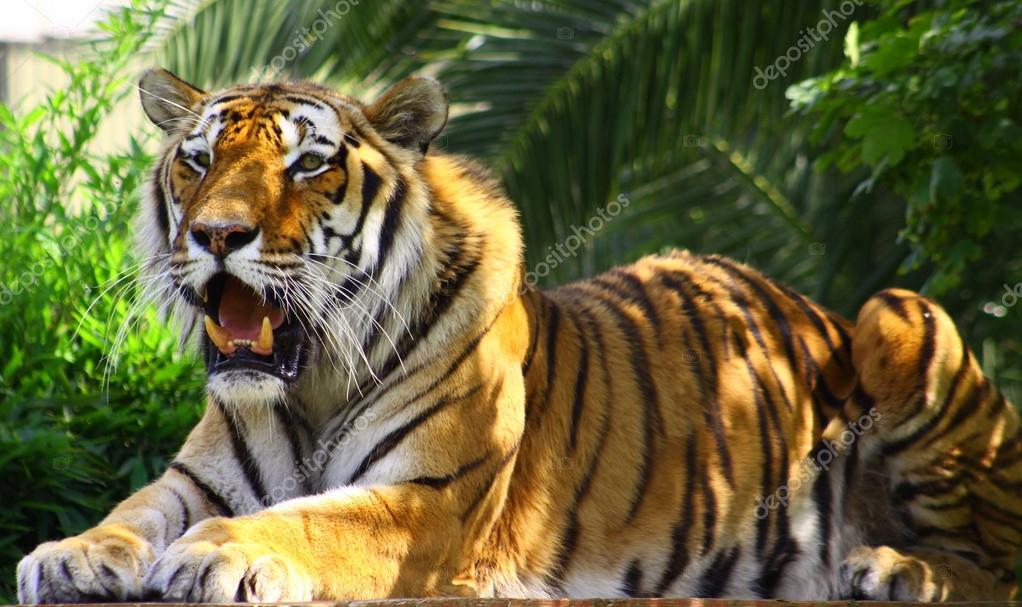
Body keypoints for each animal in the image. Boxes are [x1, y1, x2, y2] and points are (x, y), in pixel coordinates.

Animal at [16, 67, 1022, 603]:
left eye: (307, 164)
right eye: (197, 160)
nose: (217, 234)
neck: (312, 385)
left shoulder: (427, 500)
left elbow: (309, 519)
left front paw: (218, 551)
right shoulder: (195, 478)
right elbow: (133, 511)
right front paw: (67, 555)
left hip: (898, 316)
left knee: (996, 563)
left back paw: (890, 566)